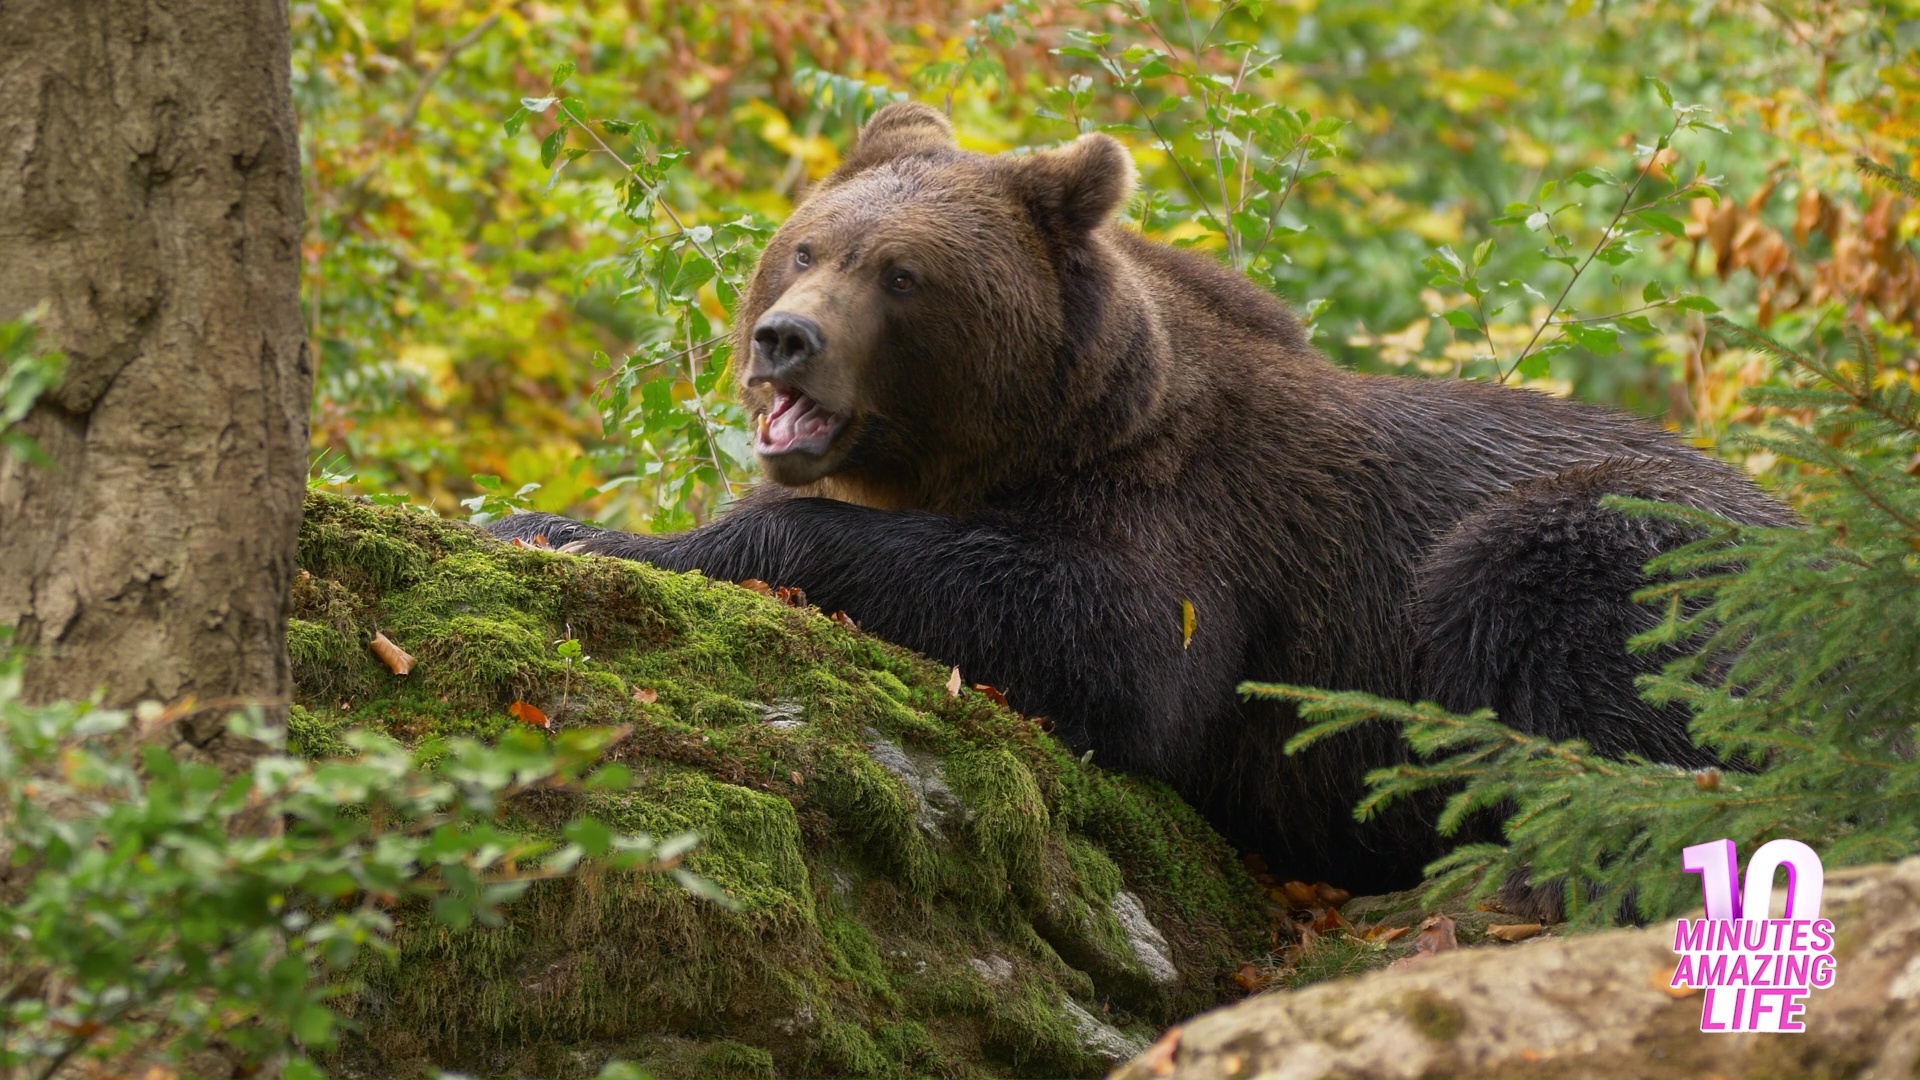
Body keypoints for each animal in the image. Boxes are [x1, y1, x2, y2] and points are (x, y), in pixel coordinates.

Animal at [491, 102, 1792, 894]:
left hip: (1630, 547)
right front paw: (533, 518)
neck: (1040, 432)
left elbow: (1110, 645)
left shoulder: (1196, 524)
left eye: (901, 274)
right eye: (806, 247)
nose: (784, 340)